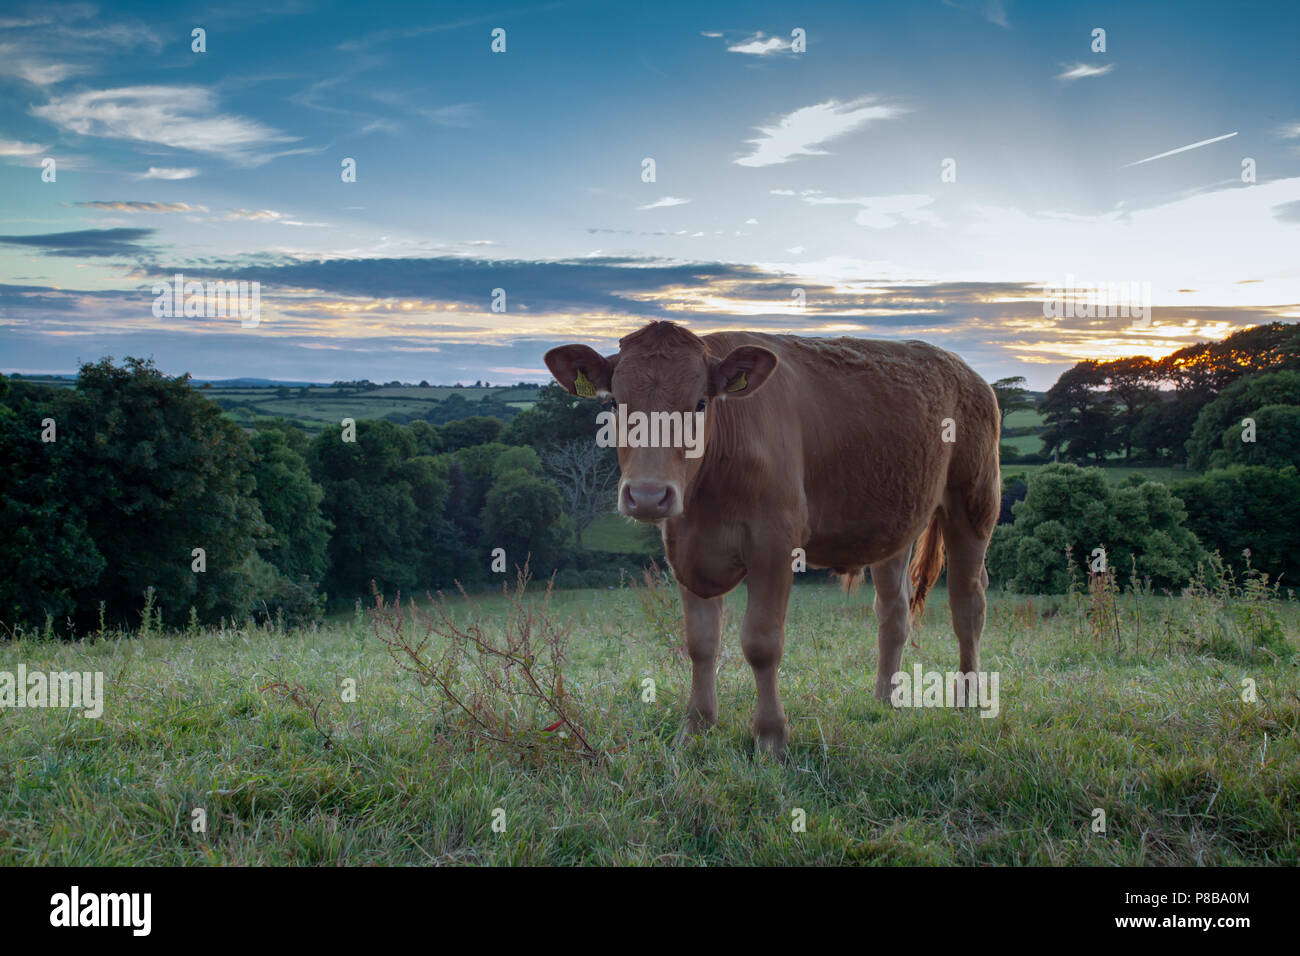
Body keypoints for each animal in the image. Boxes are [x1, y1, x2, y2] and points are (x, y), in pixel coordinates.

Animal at [545, 321, 1001, 754]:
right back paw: (884, 701)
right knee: (894, 611)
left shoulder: (775, 547)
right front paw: (695, 729)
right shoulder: (686, 552)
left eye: (699, 403)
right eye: (614, 404)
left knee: (968, 604)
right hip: (895, 524)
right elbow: (700, 643)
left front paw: (770, 737)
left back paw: (967, 699)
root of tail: (966, 370)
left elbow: (761, 644)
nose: (647, 495)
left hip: (974, 503)